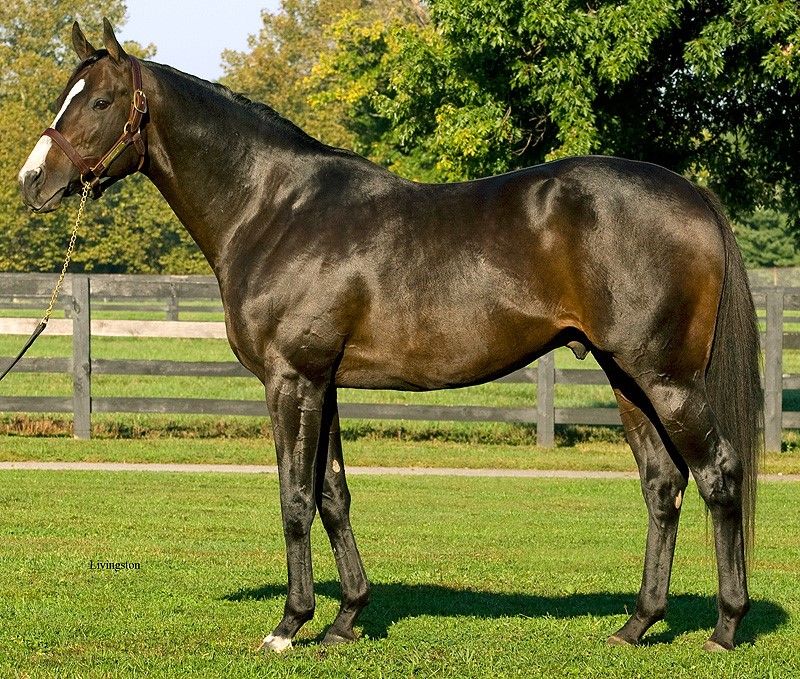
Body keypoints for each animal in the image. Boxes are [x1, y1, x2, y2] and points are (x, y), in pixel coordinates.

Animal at [19, 19, 762, 653]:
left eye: (102, 100)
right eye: (63, 96)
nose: (33, 182)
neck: (274, 208)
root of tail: (694, 196)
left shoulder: (292, 380)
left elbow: (294, 497)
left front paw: (289, 624)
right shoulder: (325, 383)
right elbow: (333, 496)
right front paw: (346, 618)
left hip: (667, 378)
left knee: (718, 474)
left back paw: (725, 628)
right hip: (625, 374)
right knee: (662, 484)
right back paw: (637, 624)